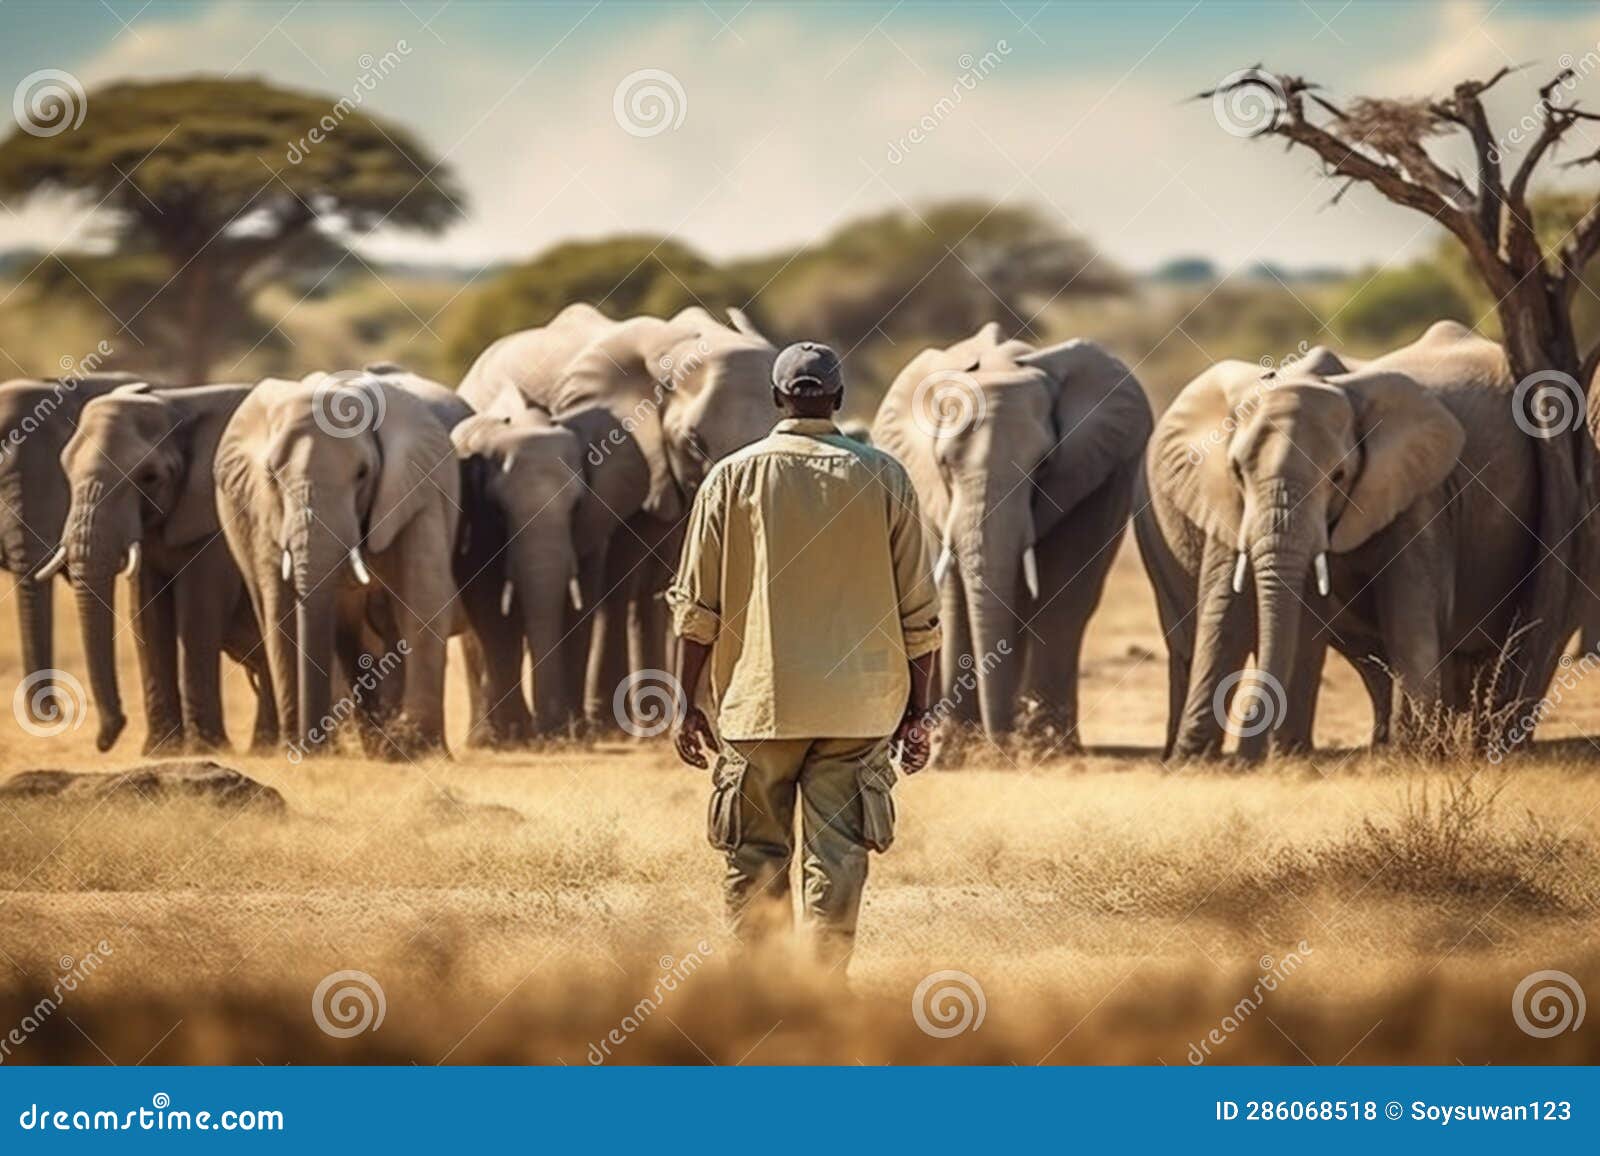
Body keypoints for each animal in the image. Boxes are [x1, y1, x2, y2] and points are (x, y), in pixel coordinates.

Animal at [55, 383, 275, 753]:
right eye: (66, 471)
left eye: (149, 477)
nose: (107, 738)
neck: (176, 404)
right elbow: (146, 614)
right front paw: (160, 752)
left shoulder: (214, 519)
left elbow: (198, 612)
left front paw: (207, 750)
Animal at [214, 368, 469, 757]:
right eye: (272, 475)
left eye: (363, 474)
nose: (312, 745)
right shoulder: (258, 510)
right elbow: (279, 608)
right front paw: (299, 747)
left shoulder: (419, 488)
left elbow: (422, 598)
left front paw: (421, 749)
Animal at [871, 322, 1153, 745]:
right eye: (944, 464)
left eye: (1044, 463)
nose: (999, 738)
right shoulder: (927, 488)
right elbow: (951, 596)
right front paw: (956, 747)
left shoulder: (1092, 473)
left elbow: (1062, 587)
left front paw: (1041, 745)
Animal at [1136, 321, 1573, 760]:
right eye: (1238, 471)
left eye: (1339, 476)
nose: (1246, 757)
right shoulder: (1221, 498)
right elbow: (1233, 611)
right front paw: (1203, 761)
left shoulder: (1416, 485)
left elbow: (1408, 603)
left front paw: (1411, 755)